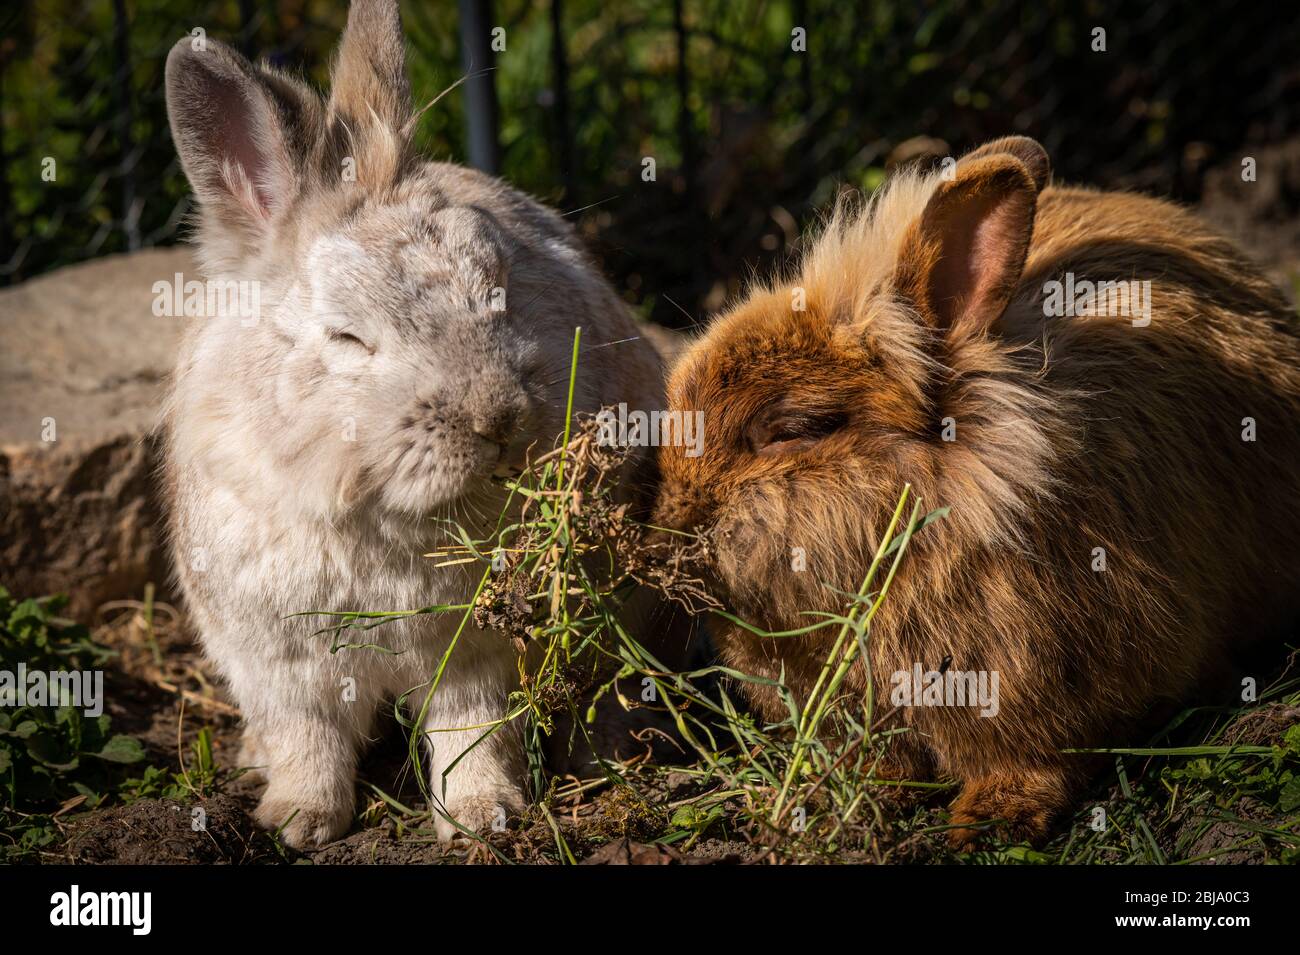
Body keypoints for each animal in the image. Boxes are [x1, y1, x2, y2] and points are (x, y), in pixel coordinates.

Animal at [161, 0, 663, 848]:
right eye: (348, 337)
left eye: (498, 287)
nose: (500, 418)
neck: (378, 514)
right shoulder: (276, 662)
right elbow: (309, 740)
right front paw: (299, 822)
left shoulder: (479, 656)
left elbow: (473, 733)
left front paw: (484, 817)